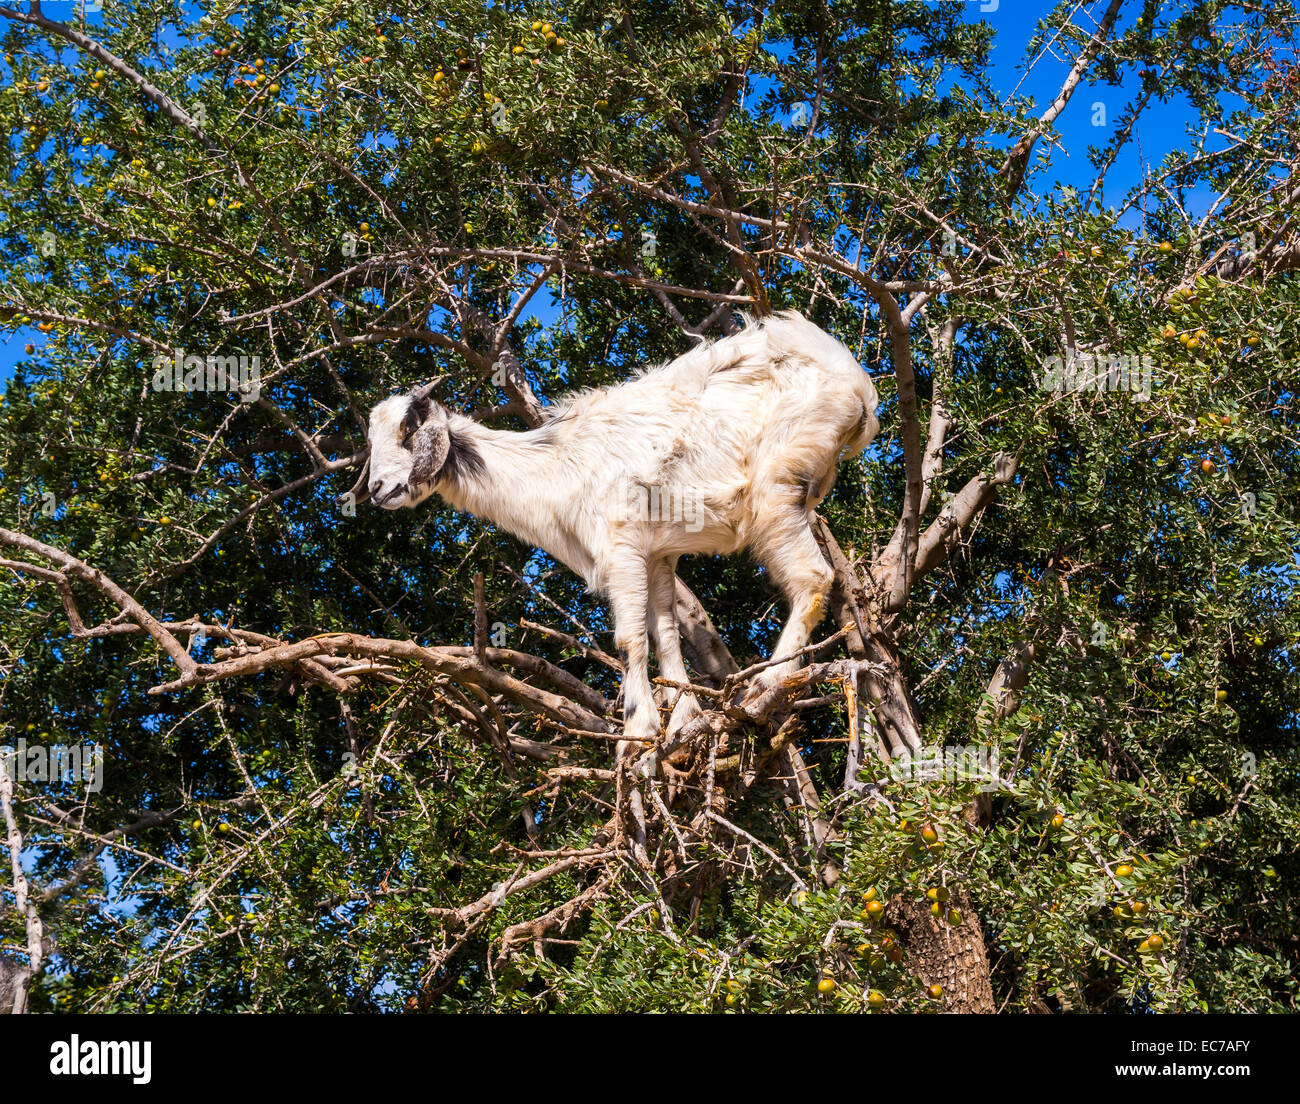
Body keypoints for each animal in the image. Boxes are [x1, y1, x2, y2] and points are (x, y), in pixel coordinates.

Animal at [346, 311, 879, 752]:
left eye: (409, 430)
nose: (379, 488)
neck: (557, 466)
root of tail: (858, 390)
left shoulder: (620, 546)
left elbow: (629, 639)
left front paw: (639, 735)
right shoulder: (659, 555)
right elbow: (666, 633)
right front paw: (682, 724)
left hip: (777, 491)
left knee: (813, 579)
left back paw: (766, 685)